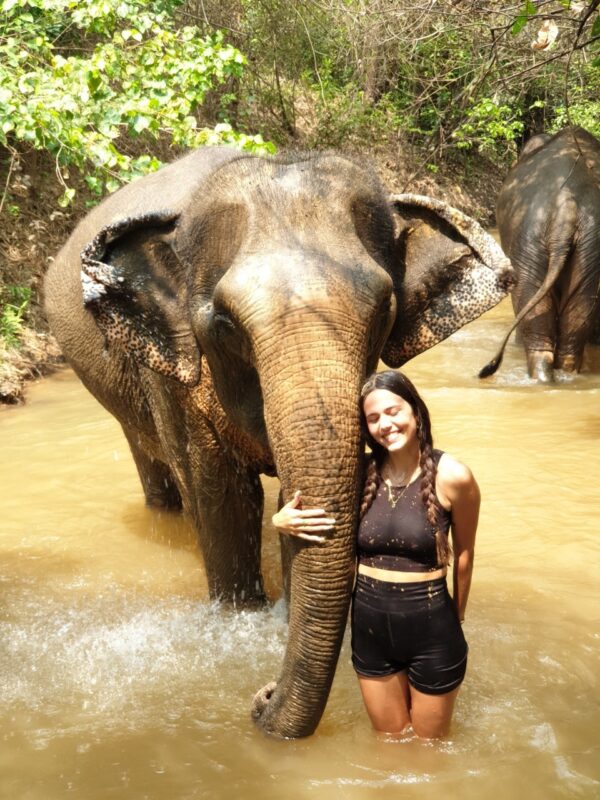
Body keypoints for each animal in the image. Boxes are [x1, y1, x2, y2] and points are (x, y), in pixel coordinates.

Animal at [44, 146, 512, 739]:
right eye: (224, 322)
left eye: (384, 308)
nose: (262, 696)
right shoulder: (173, 381)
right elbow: (222, 499)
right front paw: (240, 619)